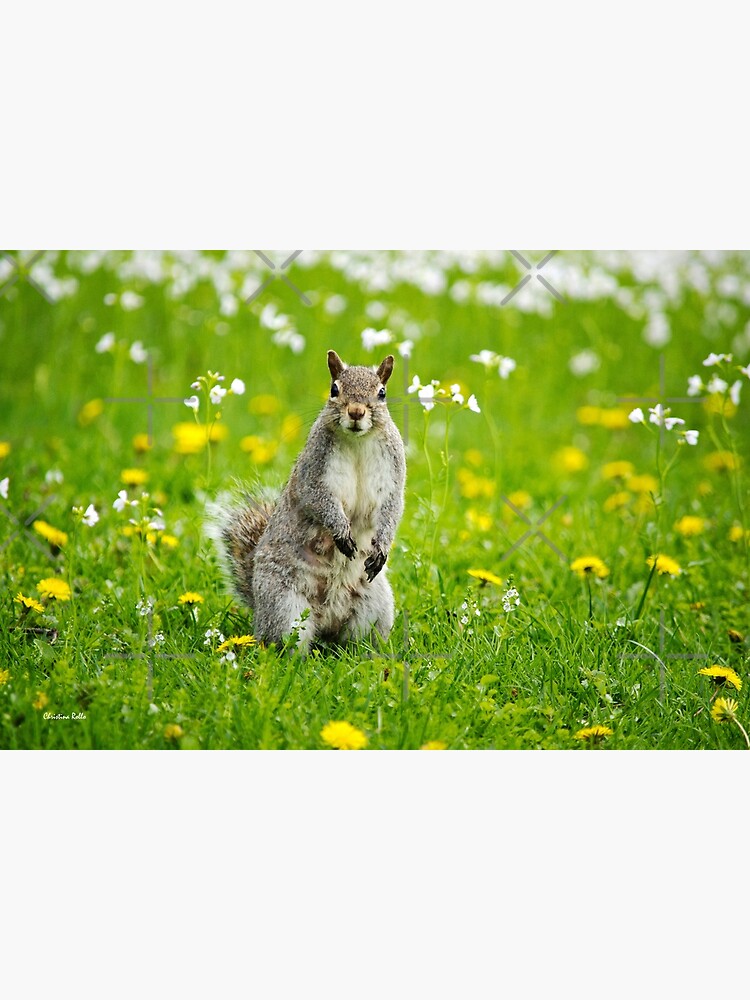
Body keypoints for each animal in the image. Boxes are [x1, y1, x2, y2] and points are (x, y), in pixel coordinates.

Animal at [208, 349, 406, 652]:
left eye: (382, 393)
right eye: (334, 389)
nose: (356, 412)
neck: (358, 441)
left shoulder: (393, 474)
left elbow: (392, 509)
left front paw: (381, 548)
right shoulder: (313, 473)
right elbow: (319, 501)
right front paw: (342, 533)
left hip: (374, 606)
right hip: (284, 605)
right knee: (284, 643)